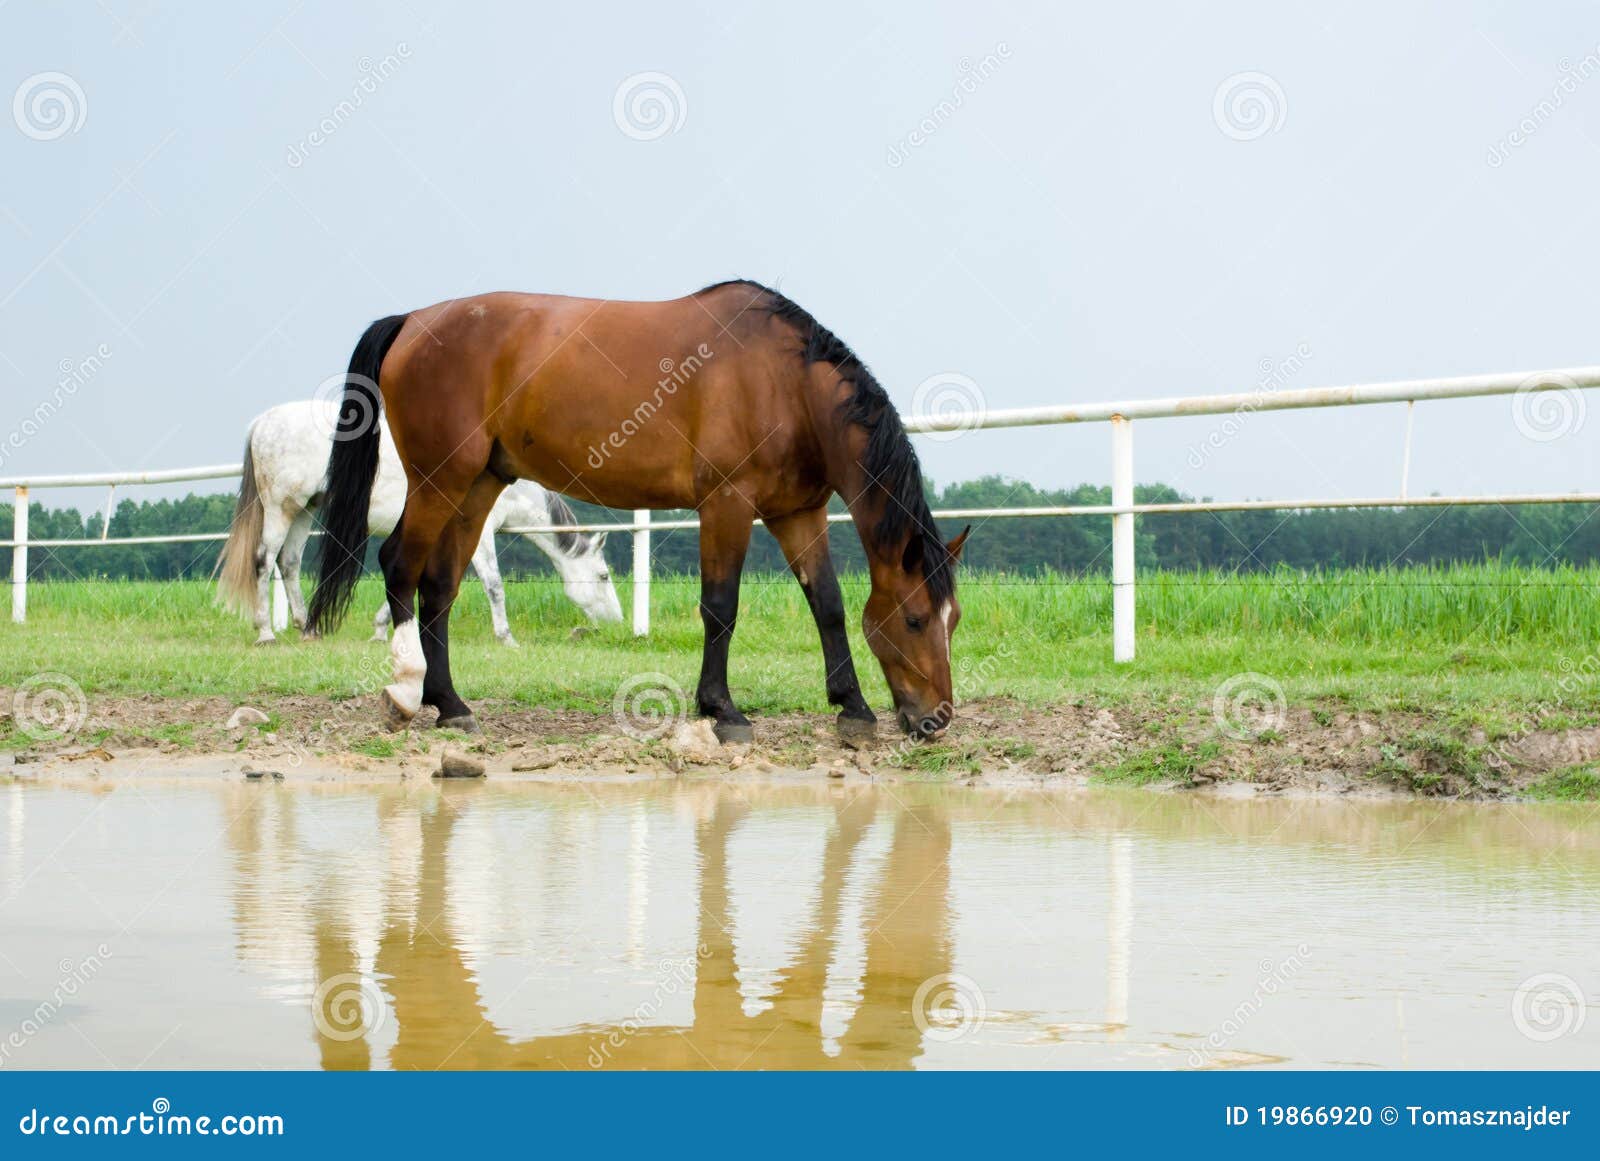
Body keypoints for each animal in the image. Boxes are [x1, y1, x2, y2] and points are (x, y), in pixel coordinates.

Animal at [217, 400, 621, 645]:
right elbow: (493, 584)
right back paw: (266, 632)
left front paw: (382, 629)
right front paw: (506, 637)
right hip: (280, 509)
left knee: (289, 563)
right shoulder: (479, 535)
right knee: (263, 561)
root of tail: (263, 422)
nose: (616, 621)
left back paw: (307, 628)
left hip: (304, 511)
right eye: (603, 576)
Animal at [307, 281, 969, 741]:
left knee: (440, 584)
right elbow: (721, 606)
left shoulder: (798, 513)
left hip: (477, 486)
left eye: (953, 620)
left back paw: (452, 706)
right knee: (399, 564)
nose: (936, 719)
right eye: (915, 620)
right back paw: (404, 693)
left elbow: (827, 605)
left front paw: (852, 709)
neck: (784, 382)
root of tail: (413, 321)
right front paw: (722, 710)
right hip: (439, 479)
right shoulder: (726, 503)